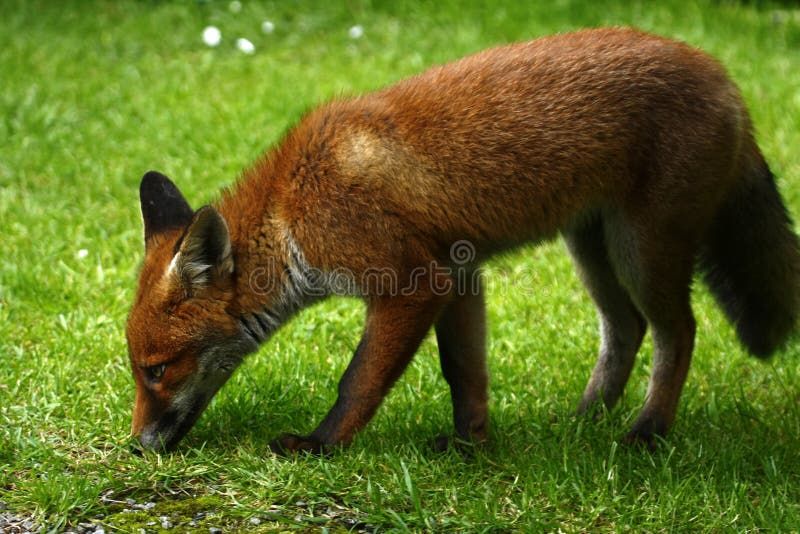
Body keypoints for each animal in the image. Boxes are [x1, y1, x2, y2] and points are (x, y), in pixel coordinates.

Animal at [127, 27, 800, 454]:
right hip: (591, 246)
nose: (136, 448)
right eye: (138, 370)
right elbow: (465, 373)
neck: (293, 204)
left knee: (677, 333)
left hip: (643, 248)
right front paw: (469, 447)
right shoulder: (459, 273)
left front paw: (320, 446)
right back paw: (583, 424)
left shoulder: (413, 281)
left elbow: (358, 380)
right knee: (626, 329)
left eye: (157, 370)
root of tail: (724, 77)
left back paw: (648, 432)